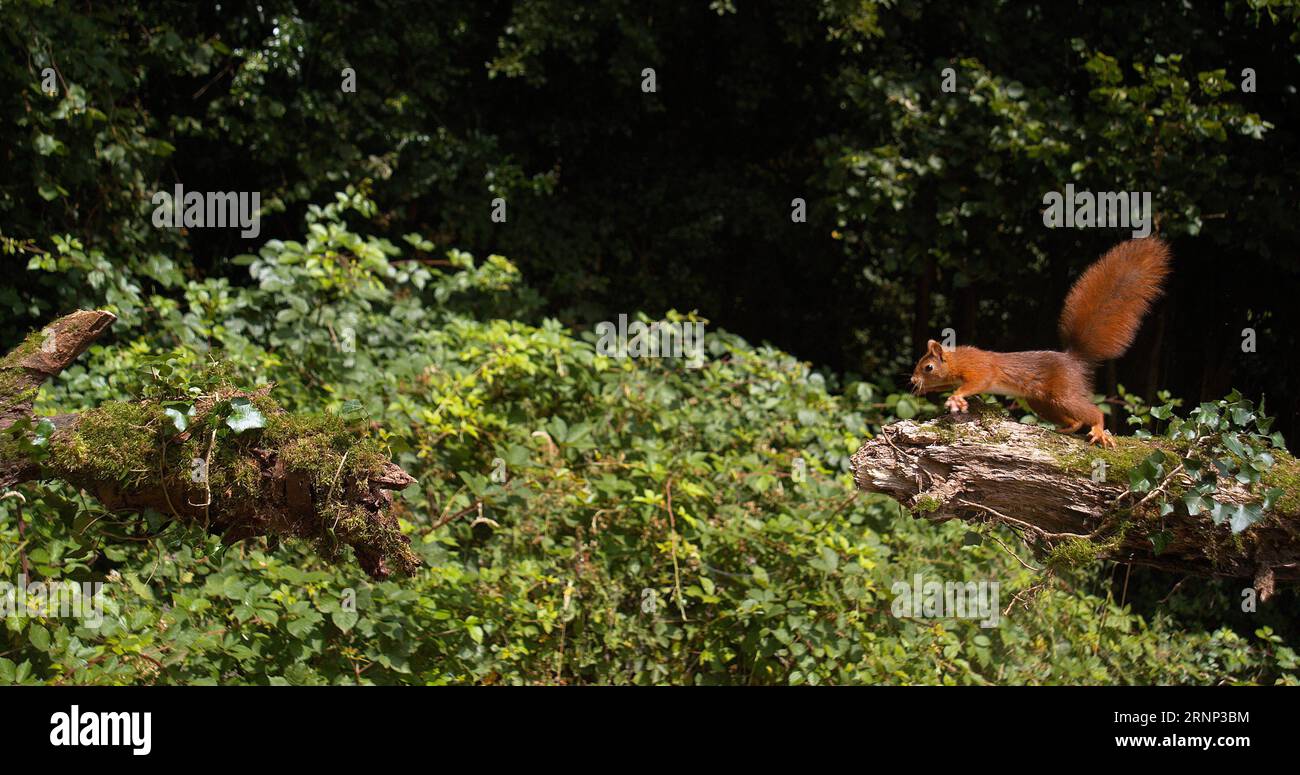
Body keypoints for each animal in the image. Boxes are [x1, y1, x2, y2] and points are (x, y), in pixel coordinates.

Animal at [908, 237, 1171, 449]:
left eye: (928, 367)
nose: (912, 380)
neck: (957, 360)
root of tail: (1074, 360)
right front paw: (931, 392)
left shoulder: (979, 367)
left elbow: (978, 381)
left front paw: (956, 398)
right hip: (1041, 402)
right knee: (1074, 419)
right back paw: (1067, 428)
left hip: (1063, 394)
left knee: (1093, 411)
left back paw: (1097, 429)